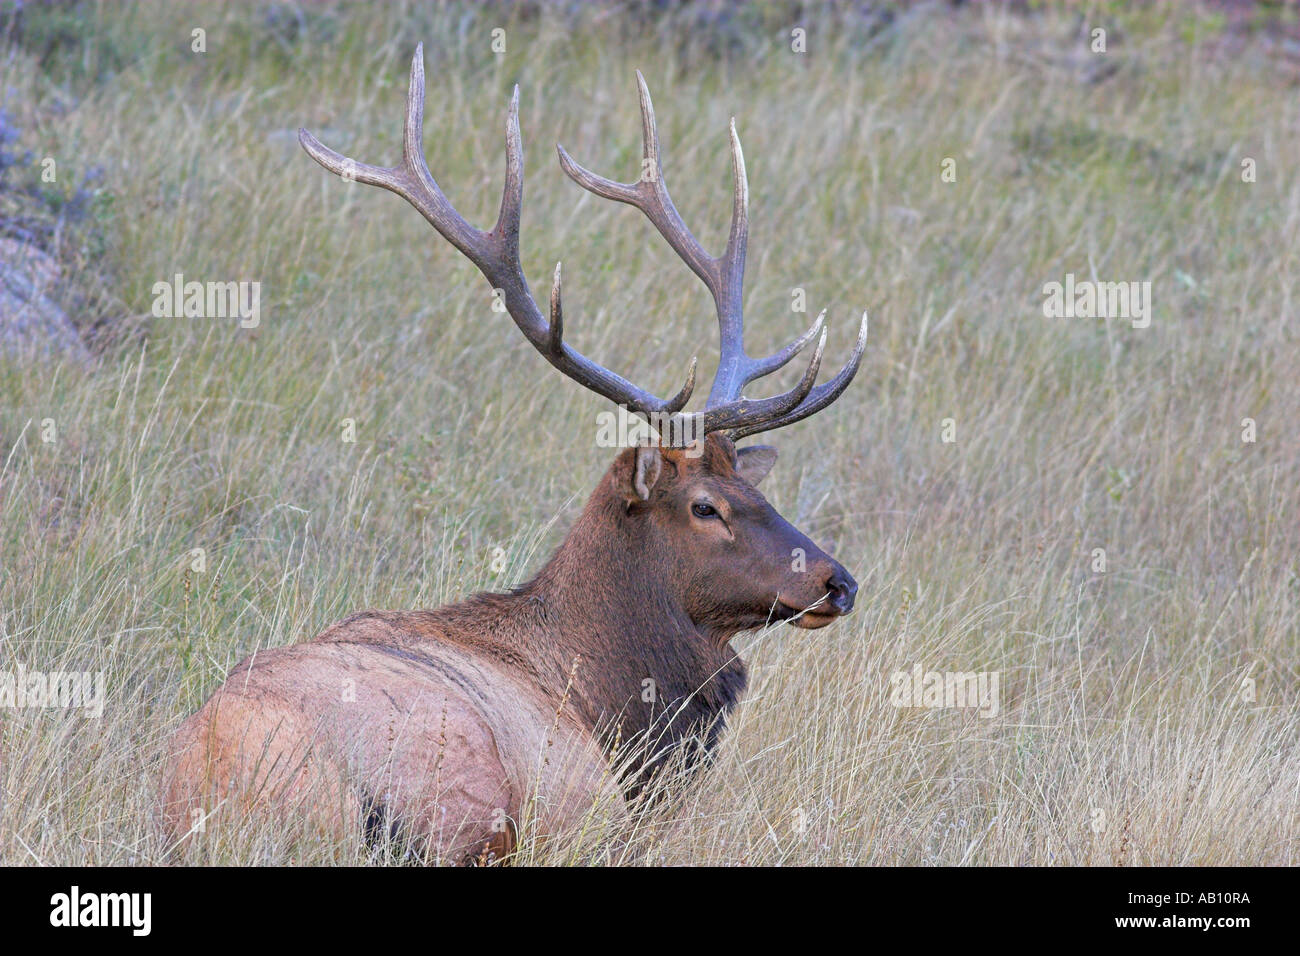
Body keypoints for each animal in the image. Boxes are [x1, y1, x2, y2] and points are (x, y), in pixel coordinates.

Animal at [160, 45, 868, 864]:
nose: (839, 581)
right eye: (705, 507)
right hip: (457, 776)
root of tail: (211, 778)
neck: (612, 700)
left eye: (761, 494)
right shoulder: (593, 803)